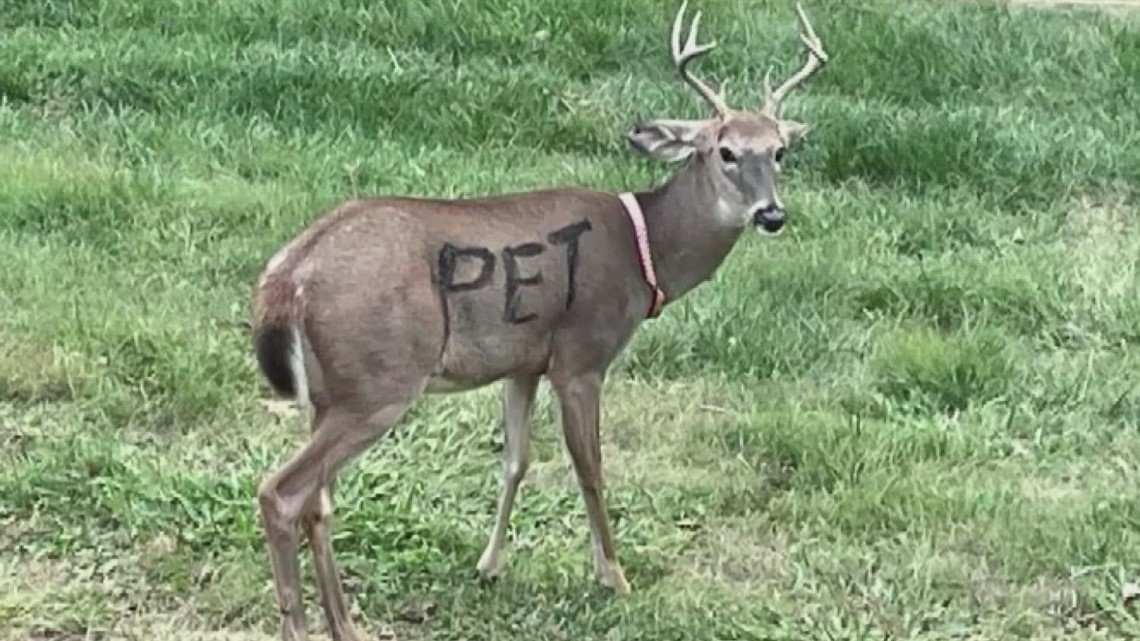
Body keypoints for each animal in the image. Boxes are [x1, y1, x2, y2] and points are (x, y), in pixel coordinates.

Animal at [249, 2, 828, 639]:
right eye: (725, 151)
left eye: (779, 151)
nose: (771, 214)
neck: (645, 251)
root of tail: (286, 276)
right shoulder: (582, 354)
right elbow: (590, 467)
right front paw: (613, 576)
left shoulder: (523, 360)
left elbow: (515, 461)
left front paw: (489, 565)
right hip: (380, 380)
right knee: (282, 492)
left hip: (330, 392)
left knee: (318, 501)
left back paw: (344, 624)